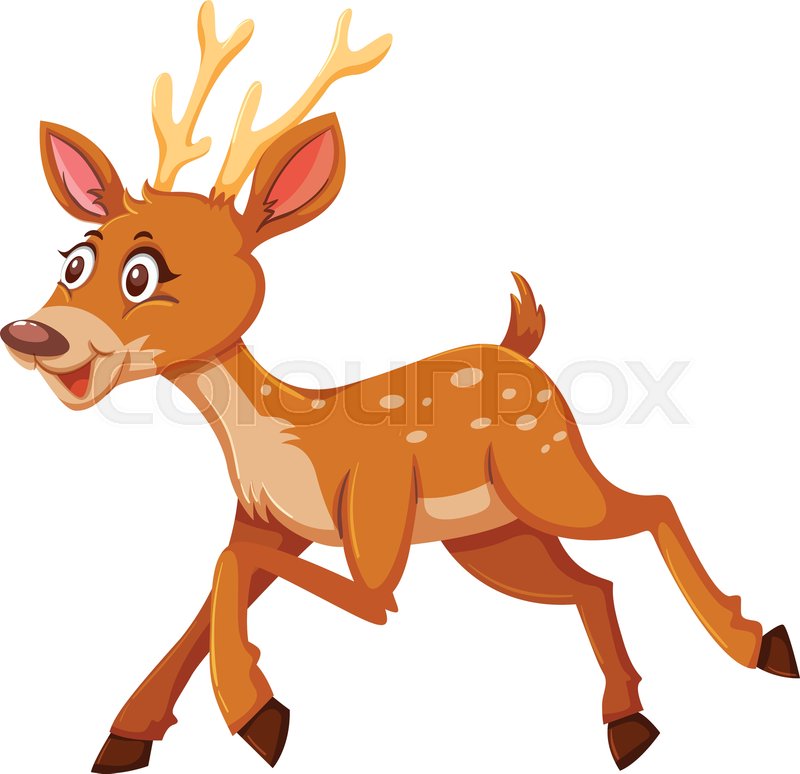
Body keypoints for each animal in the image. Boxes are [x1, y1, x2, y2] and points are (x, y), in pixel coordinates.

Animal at [2, 3, 796, 773]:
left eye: (145, 273)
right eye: (73, 261)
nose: (31, 335)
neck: (286, 441)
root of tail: (519, 348)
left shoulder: (371, 523)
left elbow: (272, 579)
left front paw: (258, 713)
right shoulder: (269, 524)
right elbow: (209, 595)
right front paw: (129, 736)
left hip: (550, 476)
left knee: (656, 506)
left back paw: (759, 645)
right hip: (493, 537)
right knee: (591, 583)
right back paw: (629, 723)